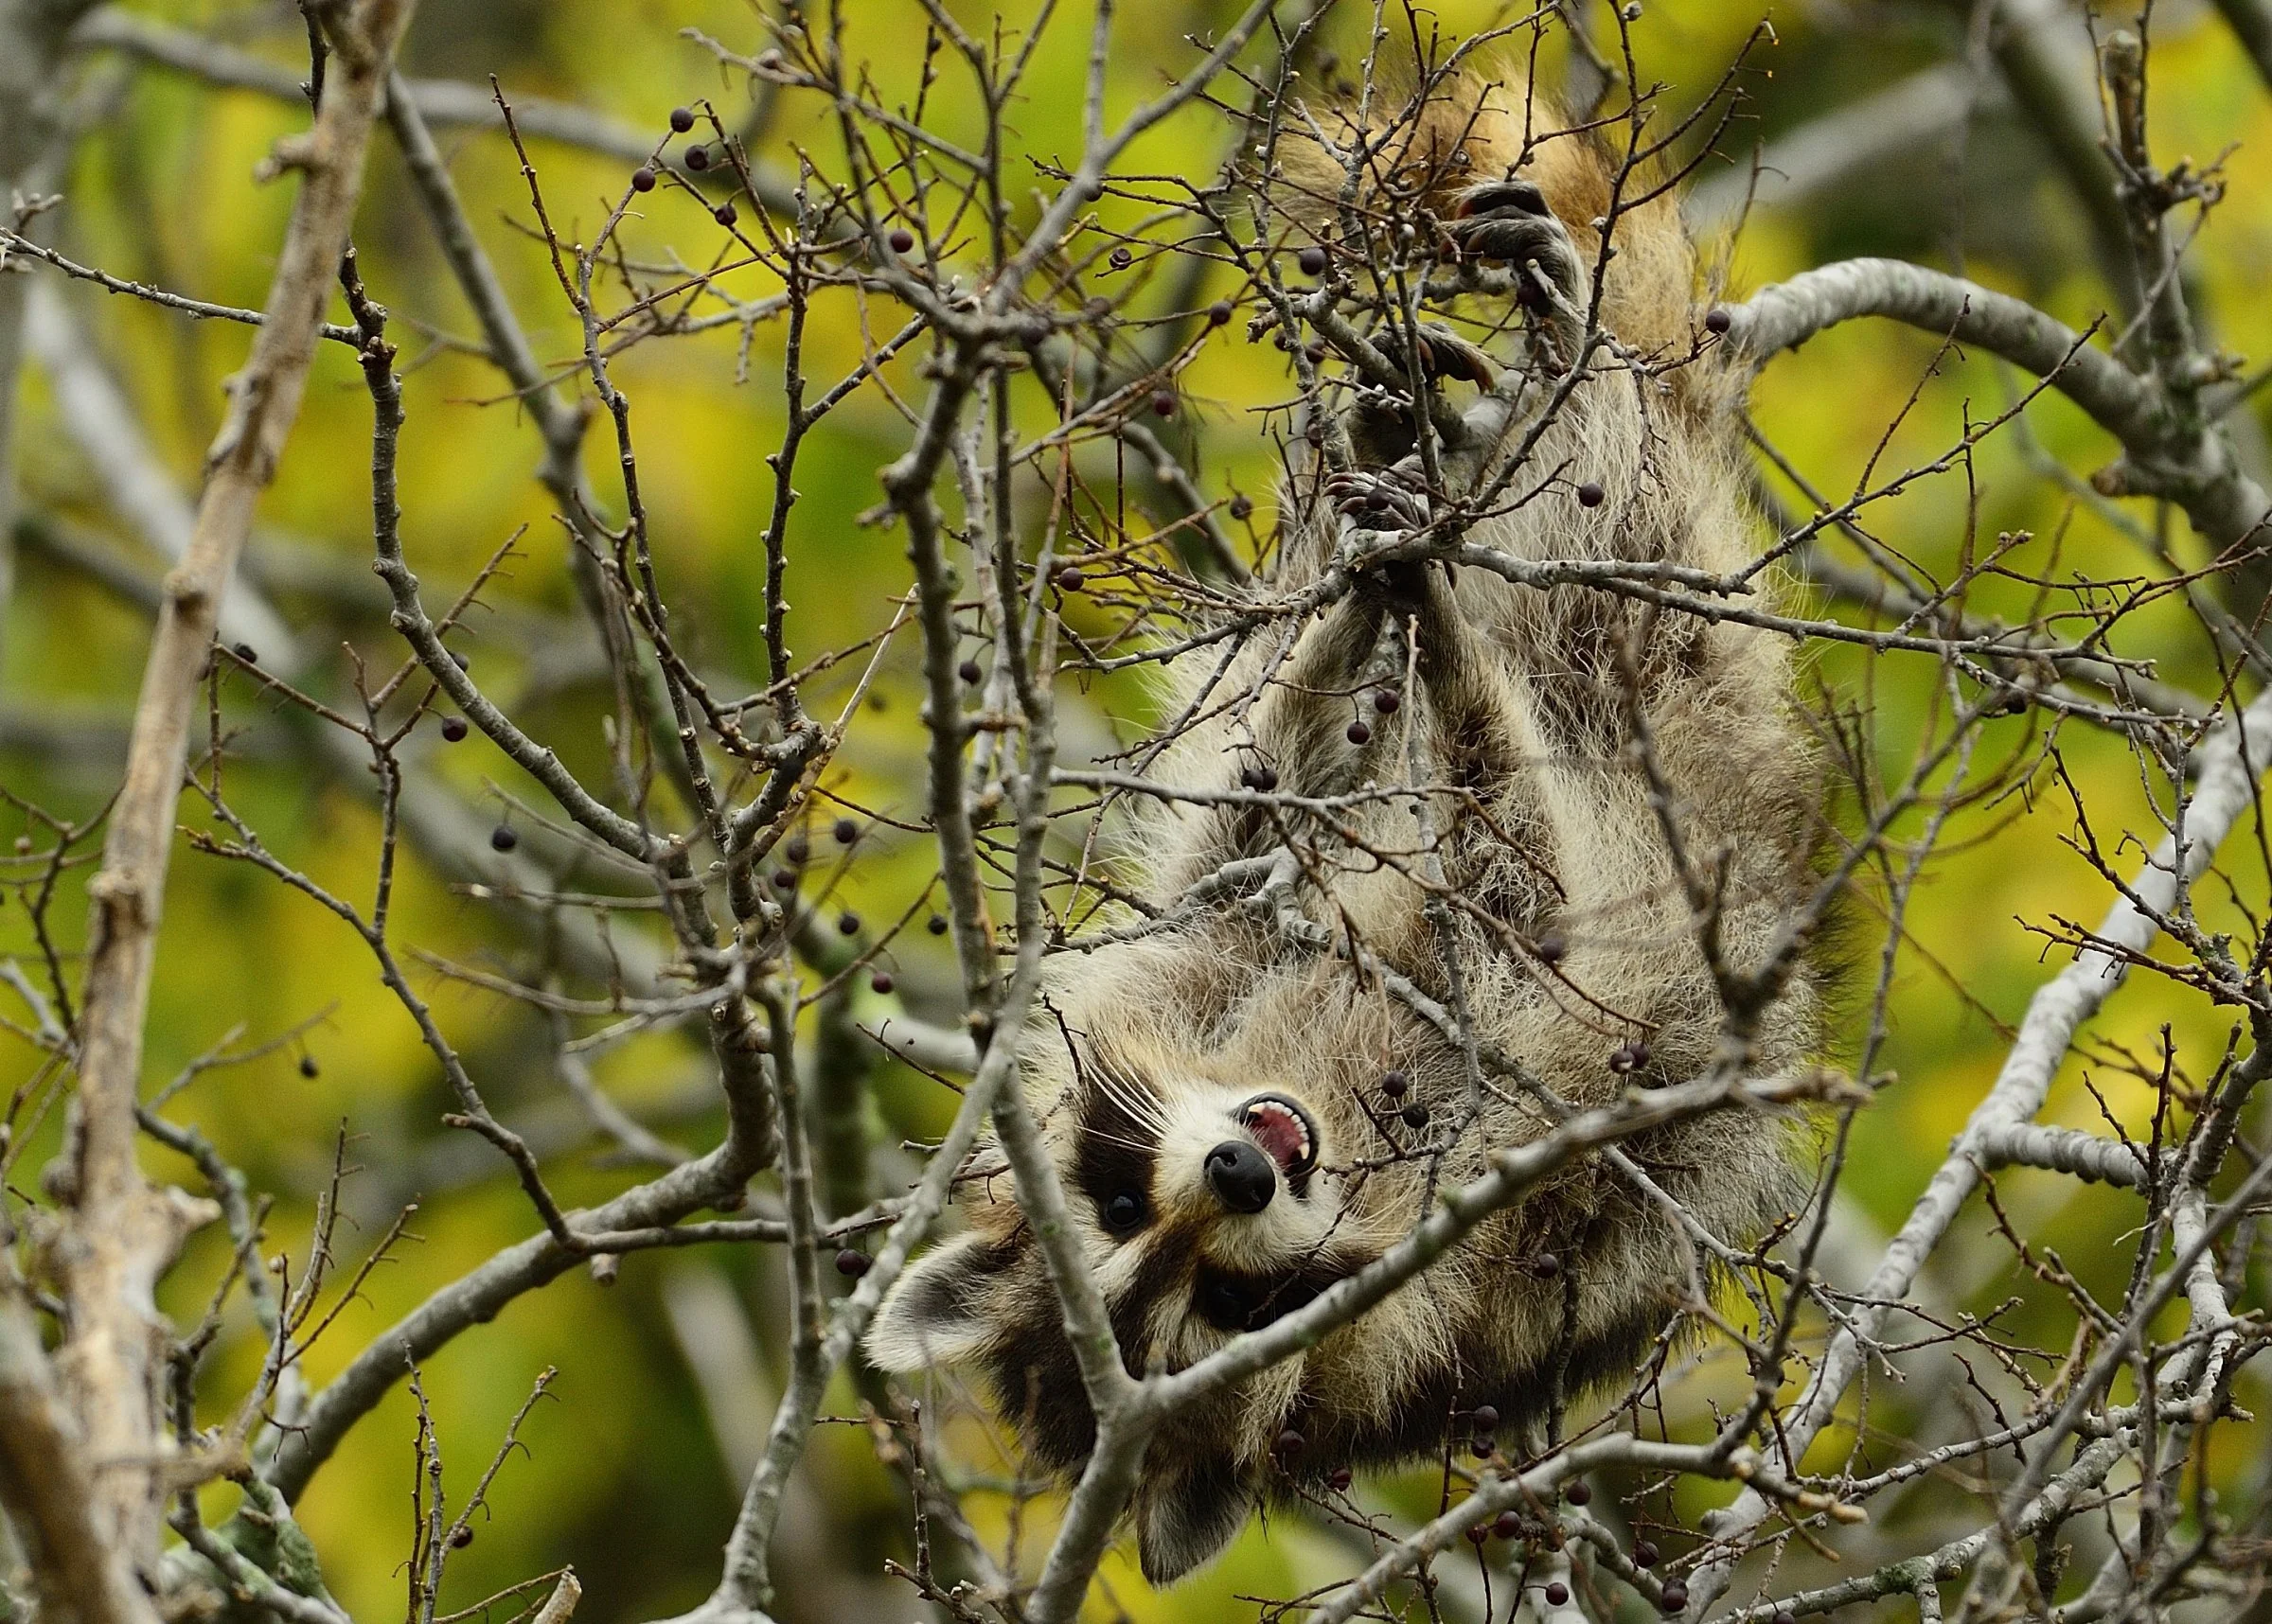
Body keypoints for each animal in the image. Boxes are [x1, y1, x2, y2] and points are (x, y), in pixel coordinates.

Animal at [867, 67, 1824, 1585]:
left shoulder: (1196, 972)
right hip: (1691, 660)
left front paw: (1359, 628)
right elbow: (1520, 887)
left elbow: (1254, 838)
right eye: (1220, 1311)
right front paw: (1443, 659)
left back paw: (1519, 376)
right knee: (1627, 564)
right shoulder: (1475, 1196)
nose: (1243, 1167)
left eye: (1120, 1205)